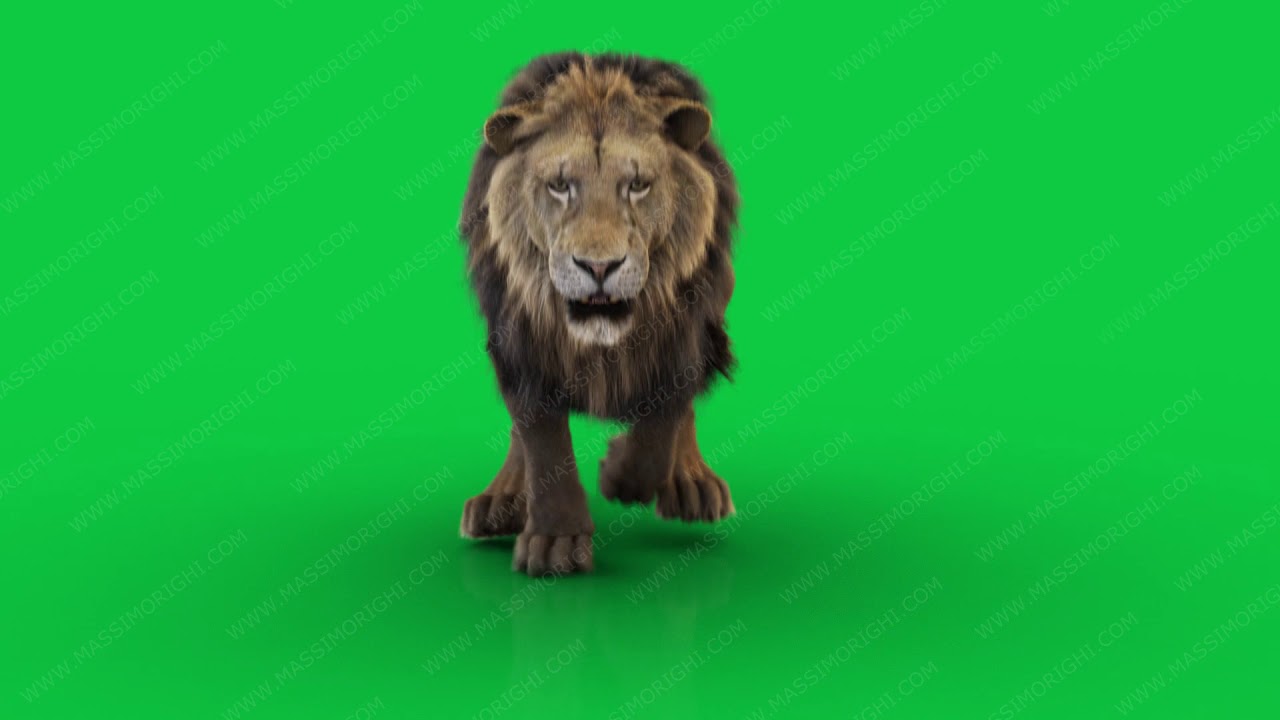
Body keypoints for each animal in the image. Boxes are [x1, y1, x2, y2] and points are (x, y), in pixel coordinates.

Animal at [458, 52, 739, 576]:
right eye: (559, 186)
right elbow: (542, 441)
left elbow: (663, 421)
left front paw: (620, 477)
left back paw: (691, 483)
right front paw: (556, 541)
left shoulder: (683, 331)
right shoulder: (524, 343)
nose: (599, 267)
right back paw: (501, 501)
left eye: (638, 185)